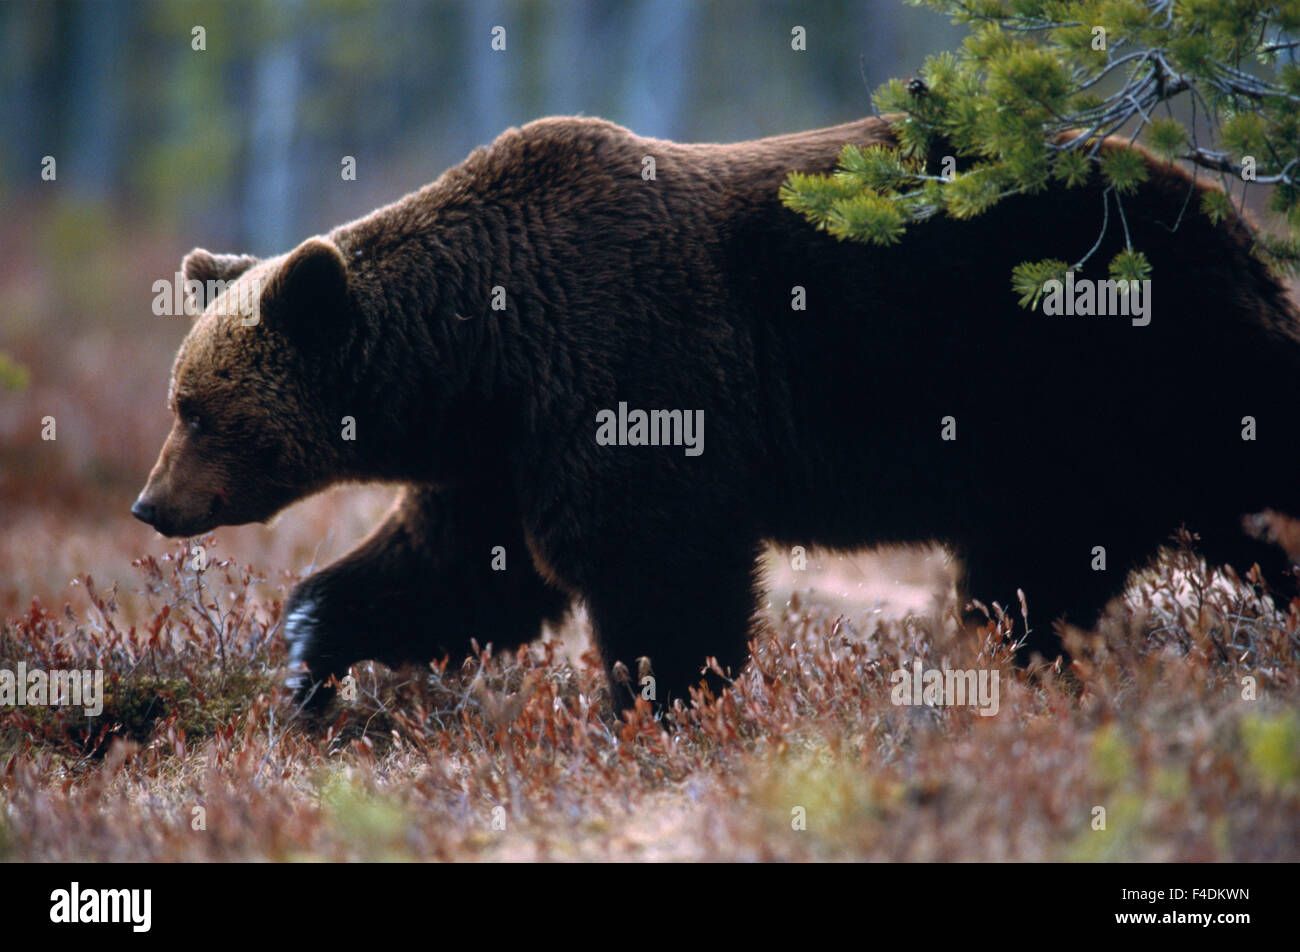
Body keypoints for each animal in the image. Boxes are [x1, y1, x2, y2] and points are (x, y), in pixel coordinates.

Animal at [132, 115, 1300, 715]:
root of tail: (1217, 208)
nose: (151, 504)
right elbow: (456, 572)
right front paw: (310, 659)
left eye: (197, 408)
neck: (479, 352)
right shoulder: (508, 449)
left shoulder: (627, 369)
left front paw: (660, 705)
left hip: (1106, 363)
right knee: (1078, 564)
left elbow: (659, 567)